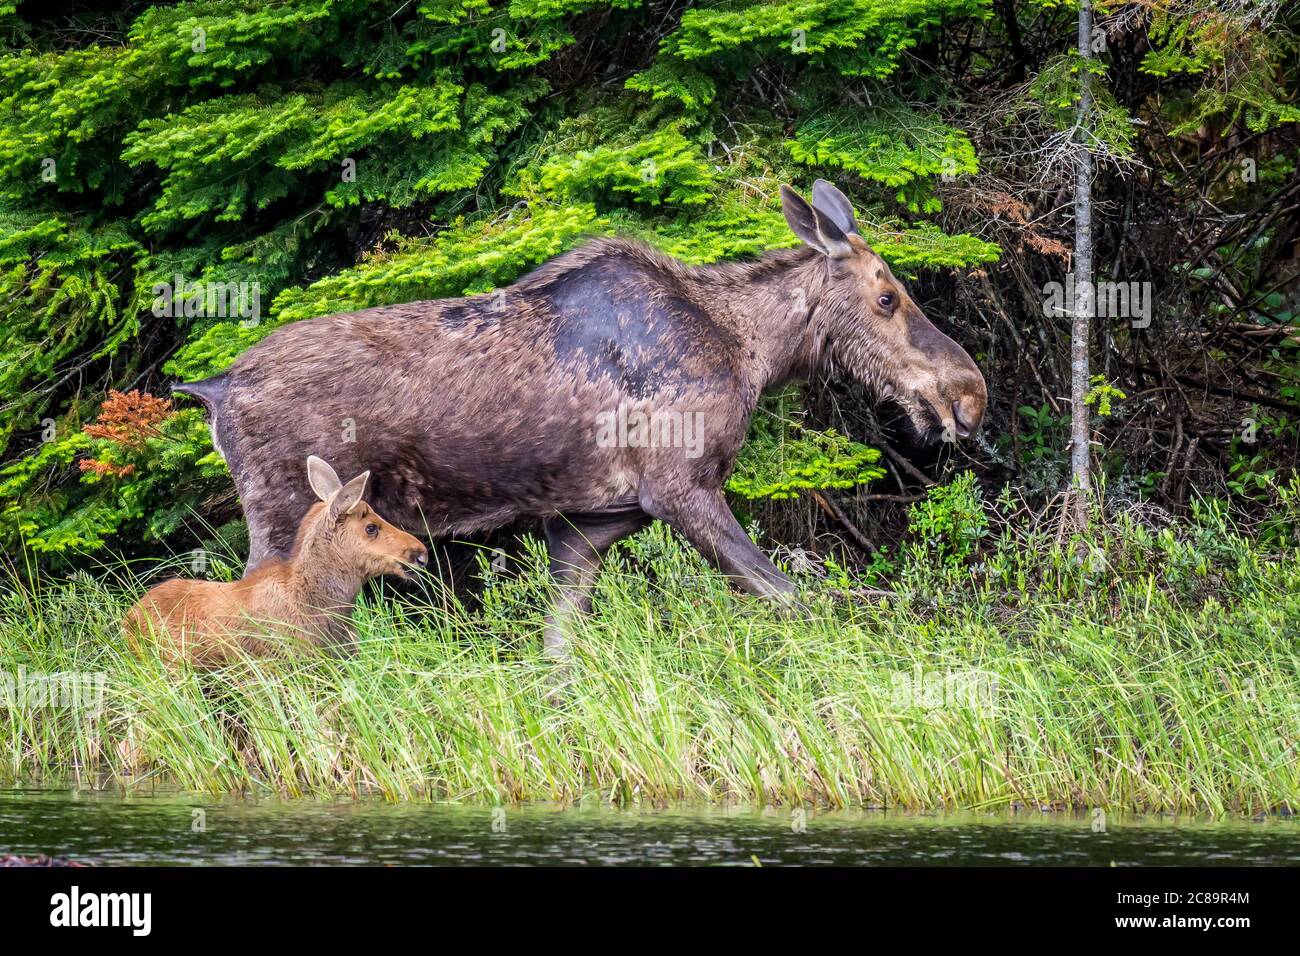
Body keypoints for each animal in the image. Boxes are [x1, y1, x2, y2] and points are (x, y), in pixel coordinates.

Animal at [172, 180, 987, 659]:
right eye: (887, 297)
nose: (970, 392)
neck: (750, 353)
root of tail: (211, 389)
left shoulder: (589, 524)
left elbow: (559, 649)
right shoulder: (682, 488)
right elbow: (787, 597)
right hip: (283, 512)